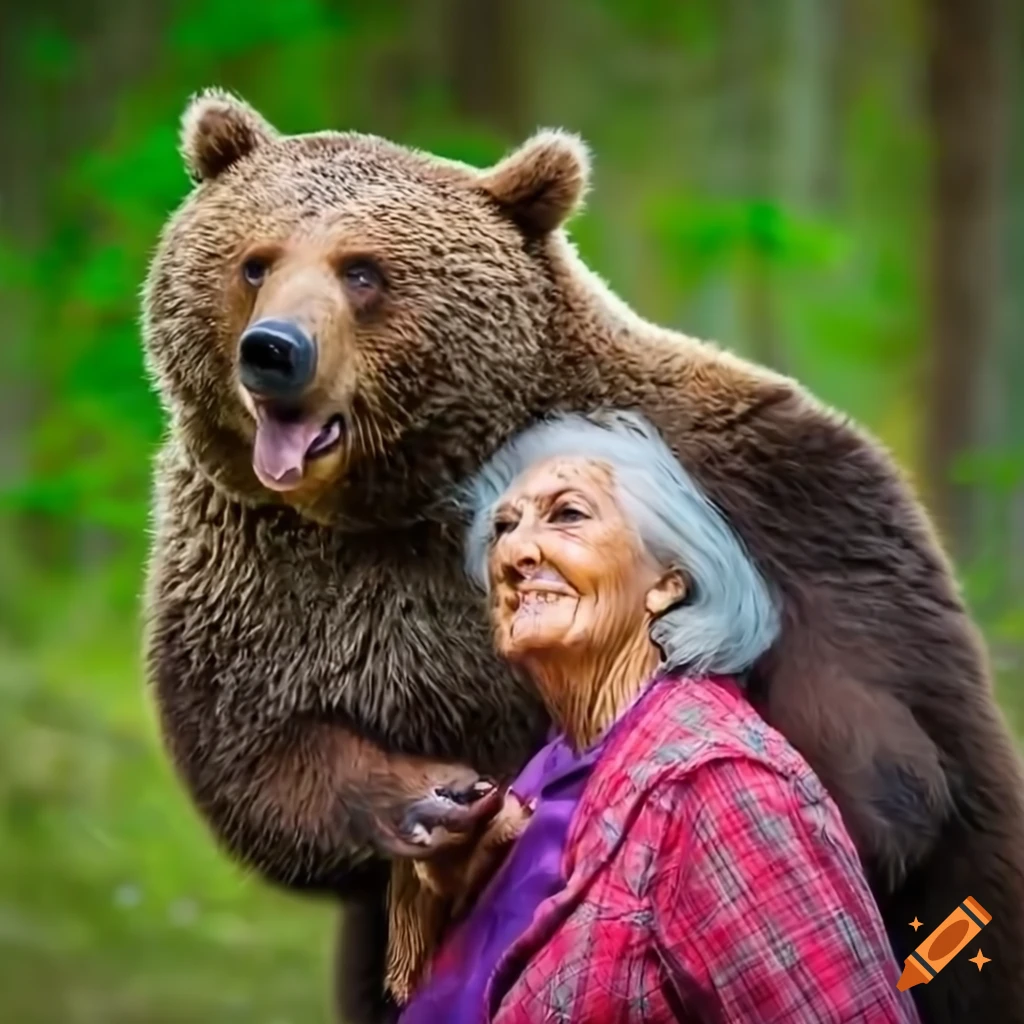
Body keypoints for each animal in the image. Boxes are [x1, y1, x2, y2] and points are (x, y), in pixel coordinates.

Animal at [141, 87, 1024, 1024]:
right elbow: (259, 756)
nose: (274, 350)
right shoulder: (263, 574)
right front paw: (431, 797)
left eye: (362, 270)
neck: (411, 489)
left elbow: (884, 759)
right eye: (255, 261)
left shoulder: (786, 499)